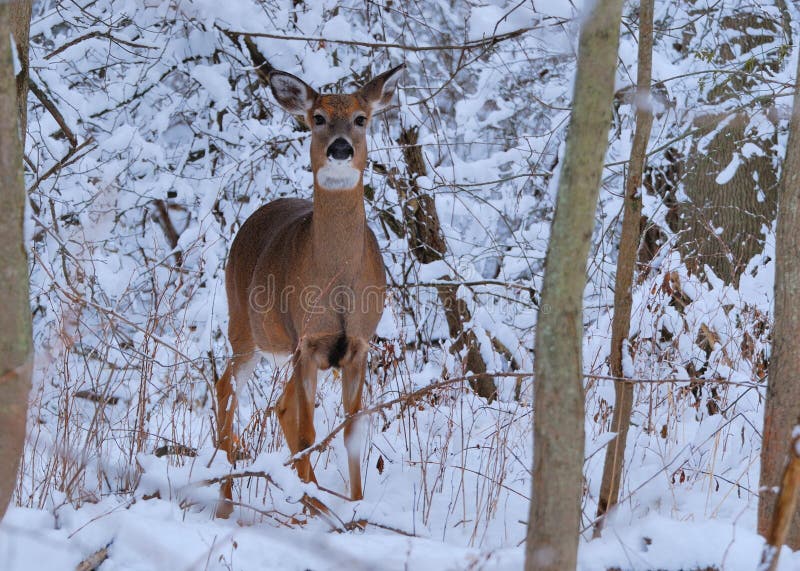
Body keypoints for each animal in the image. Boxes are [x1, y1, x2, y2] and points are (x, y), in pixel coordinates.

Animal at [214, 63, 404, 518]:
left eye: (361, 118)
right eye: (317, 117)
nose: (340, 148)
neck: (337, 283)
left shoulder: (357, 343)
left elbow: (352, 431)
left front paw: (355, 512)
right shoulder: (308, 339)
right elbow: (307, 432)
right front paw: (325, 511)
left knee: (280, 406)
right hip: (245, 327)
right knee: (227, 389)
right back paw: (229, 502)